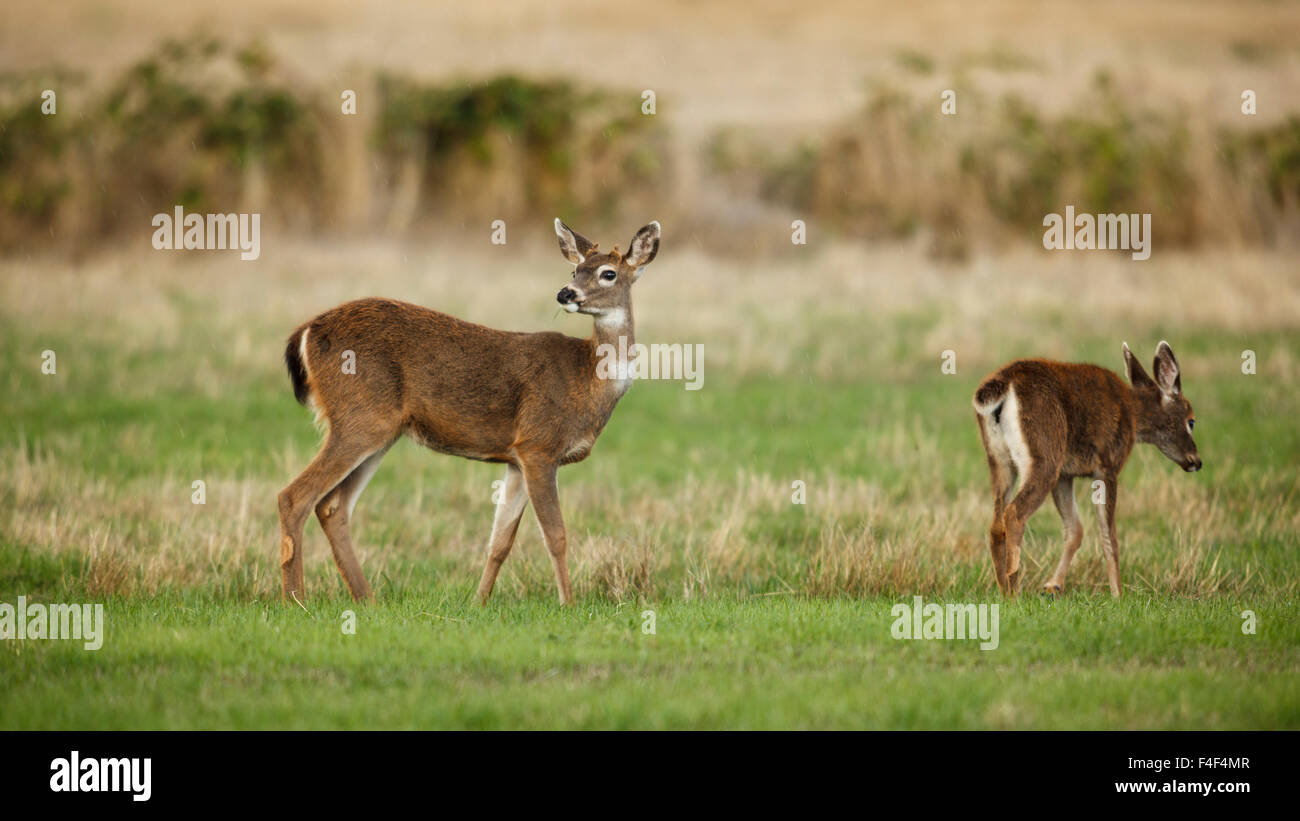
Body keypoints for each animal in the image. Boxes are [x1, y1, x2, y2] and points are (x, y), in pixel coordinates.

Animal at [276, 219, 662, 606]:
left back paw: (366, 599)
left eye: (608, 273)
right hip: (360, 418)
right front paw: (568, 603)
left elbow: (500, 542)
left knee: (332, 506)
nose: (565, 293)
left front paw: (479, 602)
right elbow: (556, 535)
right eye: (574, 270)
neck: (587, 380)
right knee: (295, 497)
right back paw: (296, 599)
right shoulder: (539, 444)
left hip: (379, 429)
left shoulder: (516, 458)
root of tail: (304, 332)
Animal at [972, 341, 1201, 597]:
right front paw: (1117, 594)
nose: (1196, 461)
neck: (1132, 414)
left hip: (999, 459)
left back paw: (1003, 590)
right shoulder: (1107, 465)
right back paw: (1014, 591)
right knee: (1014, 513)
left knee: (996, 523)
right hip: (1045, 453)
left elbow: (1075, 530)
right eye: (1191, 421)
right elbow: (1109, 535)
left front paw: (1053, 585)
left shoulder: (1065, 473)